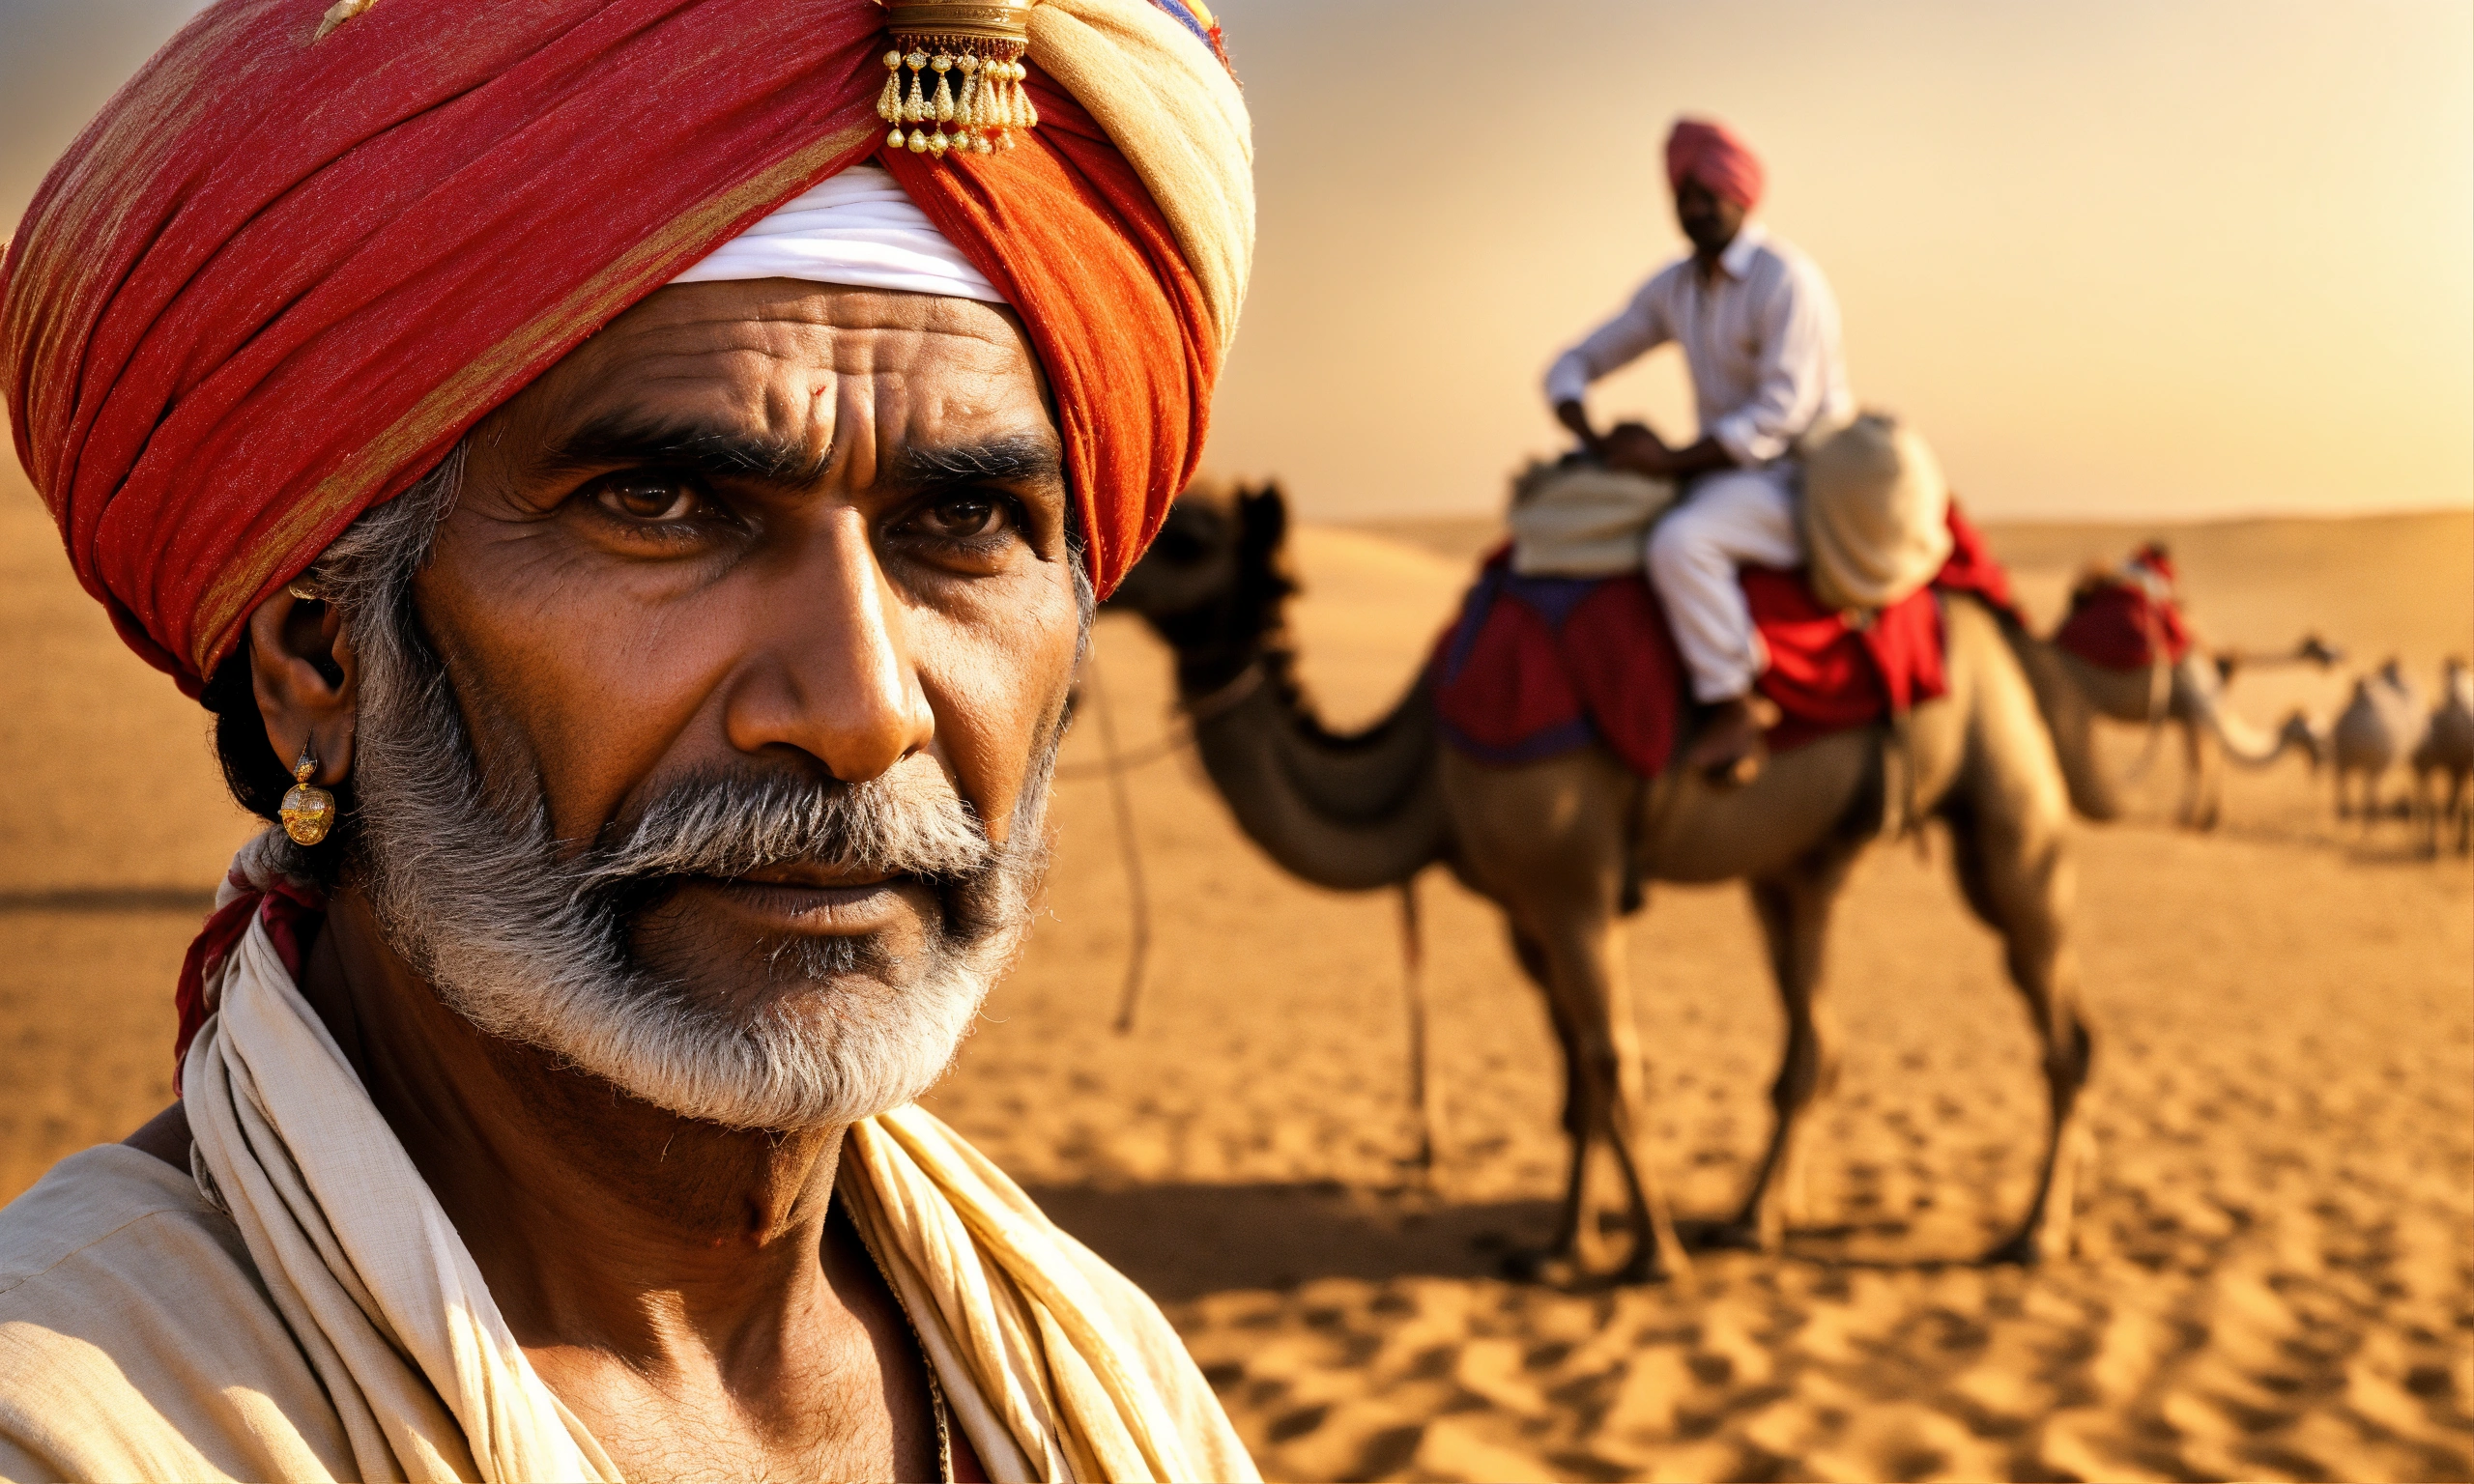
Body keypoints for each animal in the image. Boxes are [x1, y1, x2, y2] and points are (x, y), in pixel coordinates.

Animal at [1106, 482, 2110, 1282]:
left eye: (1190, 538)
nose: (1111, 567)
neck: (1423, 766)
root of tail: (1990, 616)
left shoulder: (1575, 888)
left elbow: (1610, 1058)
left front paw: (1650, 1255)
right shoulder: (1523, 910)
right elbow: (1569, 1071)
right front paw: (1562, 1245)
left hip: (2004, 800)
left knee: (2059, 1021)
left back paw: (2033, 1234)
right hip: (1794, 862)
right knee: (1814, 1033)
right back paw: (1755, 1219)